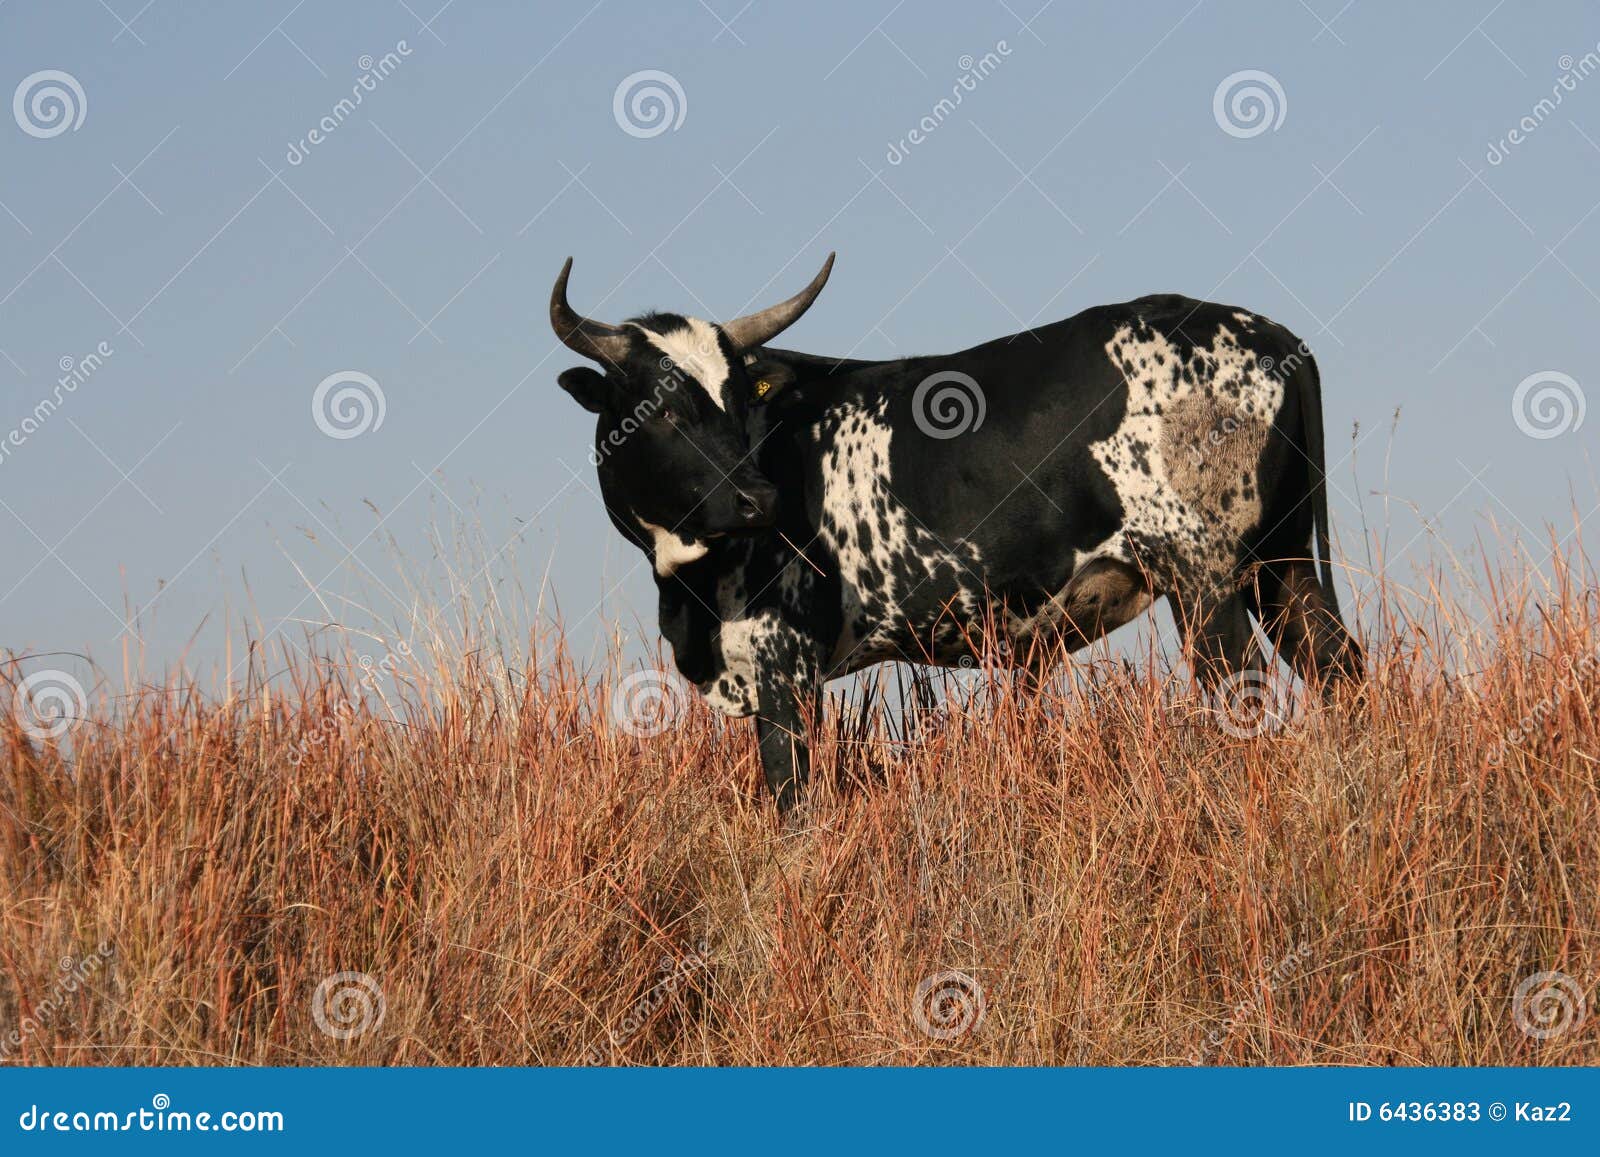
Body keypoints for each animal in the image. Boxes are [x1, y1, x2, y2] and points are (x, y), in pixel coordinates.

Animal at [552, 253, 1364, 814]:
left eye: (733, 400)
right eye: (660, 407)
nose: (759, 498)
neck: (686, 589)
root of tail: (1271, 333)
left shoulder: (786, 666)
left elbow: (793, 800)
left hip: (1204, 577)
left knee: (1243, 693)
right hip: (1282, 564)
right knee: (1340, 669)